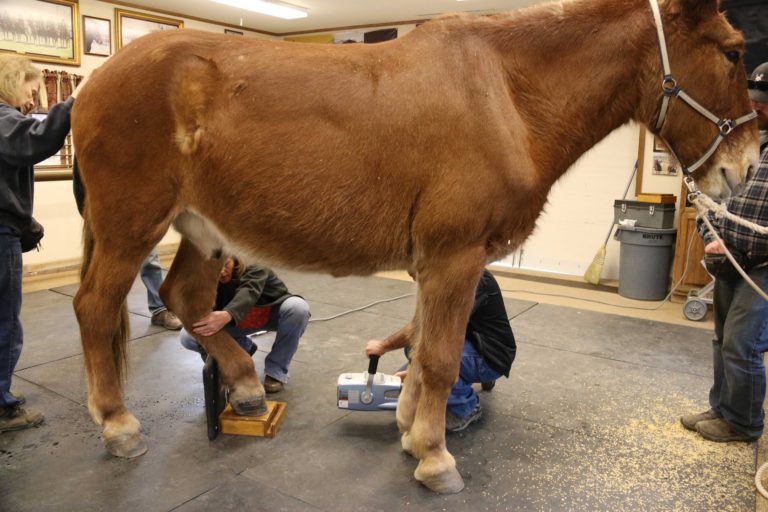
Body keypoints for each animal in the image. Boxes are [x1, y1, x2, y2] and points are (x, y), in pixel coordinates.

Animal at [71, 0, 758, 494]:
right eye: (731, 52)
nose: (746, 167)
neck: (504, 94)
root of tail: (93, 83)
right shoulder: (456, 258)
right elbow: (443, 360)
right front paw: (434, 458)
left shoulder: (434, 266)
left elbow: (421, 349)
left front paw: (406, 427)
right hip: (131, 228)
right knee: (96, 308)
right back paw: (118, 424)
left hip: (199, 230)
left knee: (186, 297)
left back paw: (242, 384)